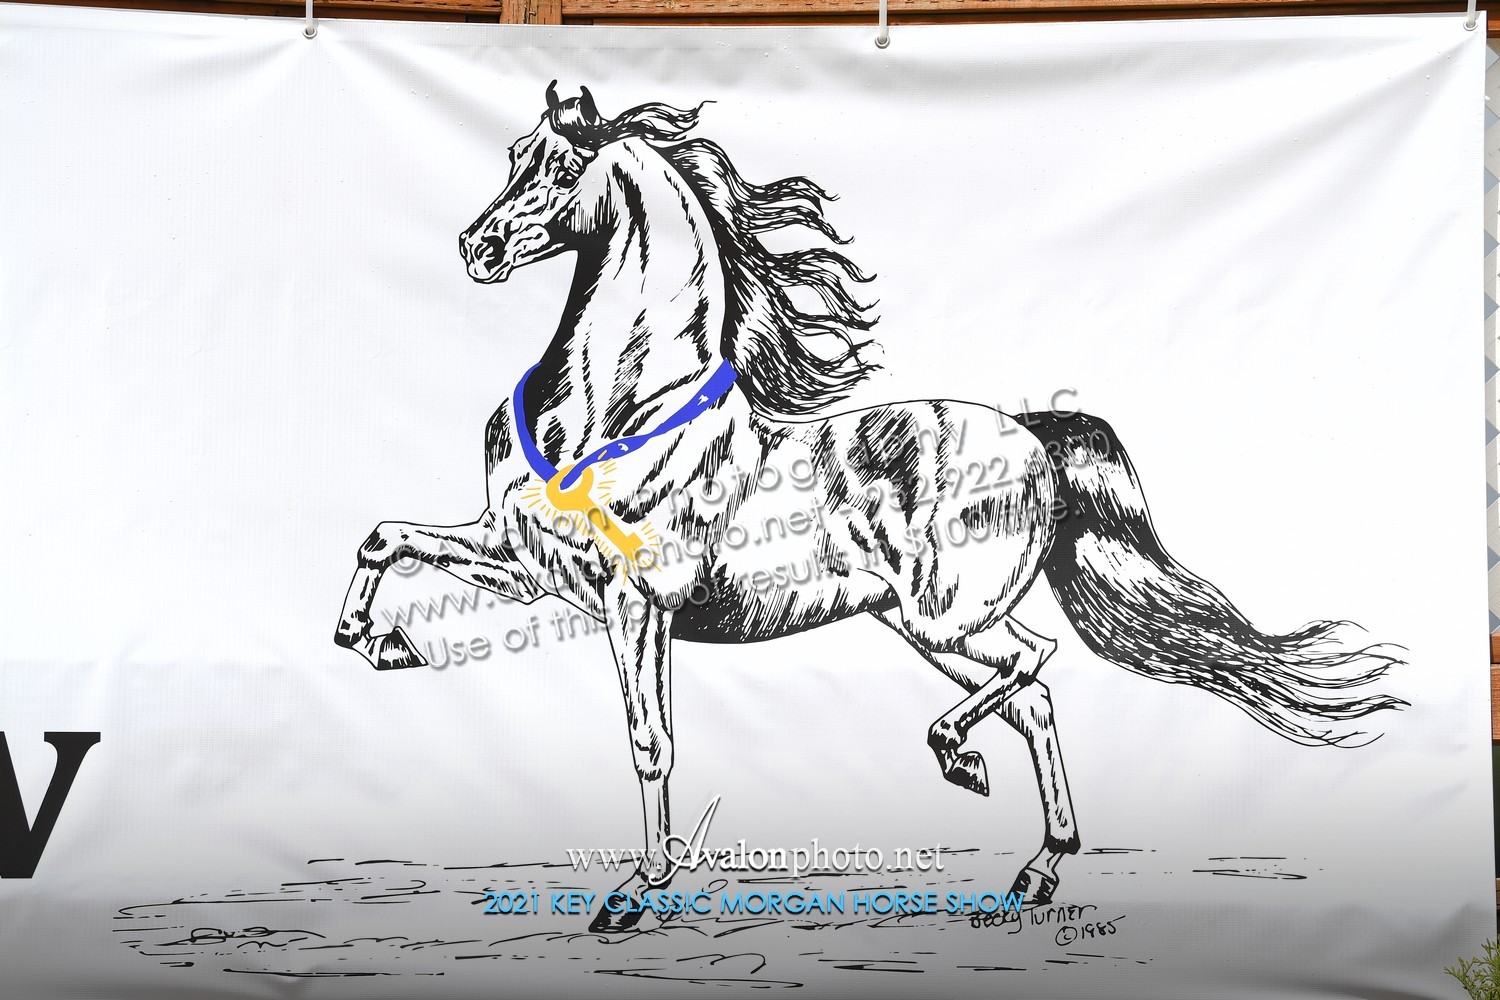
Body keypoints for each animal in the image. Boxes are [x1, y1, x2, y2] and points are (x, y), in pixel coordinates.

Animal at [335, 82, 1406, 933]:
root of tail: (1033, 433)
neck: (612, 413)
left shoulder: (638, 602)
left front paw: (635, 895)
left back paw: (964, 768)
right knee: (1035, 692)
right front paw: (377, 642)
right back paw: (1034, 872)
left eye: (559, 168)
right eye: (513, 154)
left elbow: (649, 741)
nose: (473, 246)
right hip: (924, 625)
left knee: (1033, 664)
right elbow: (387, 536)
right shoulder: (527, 562)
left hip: (945, 616)